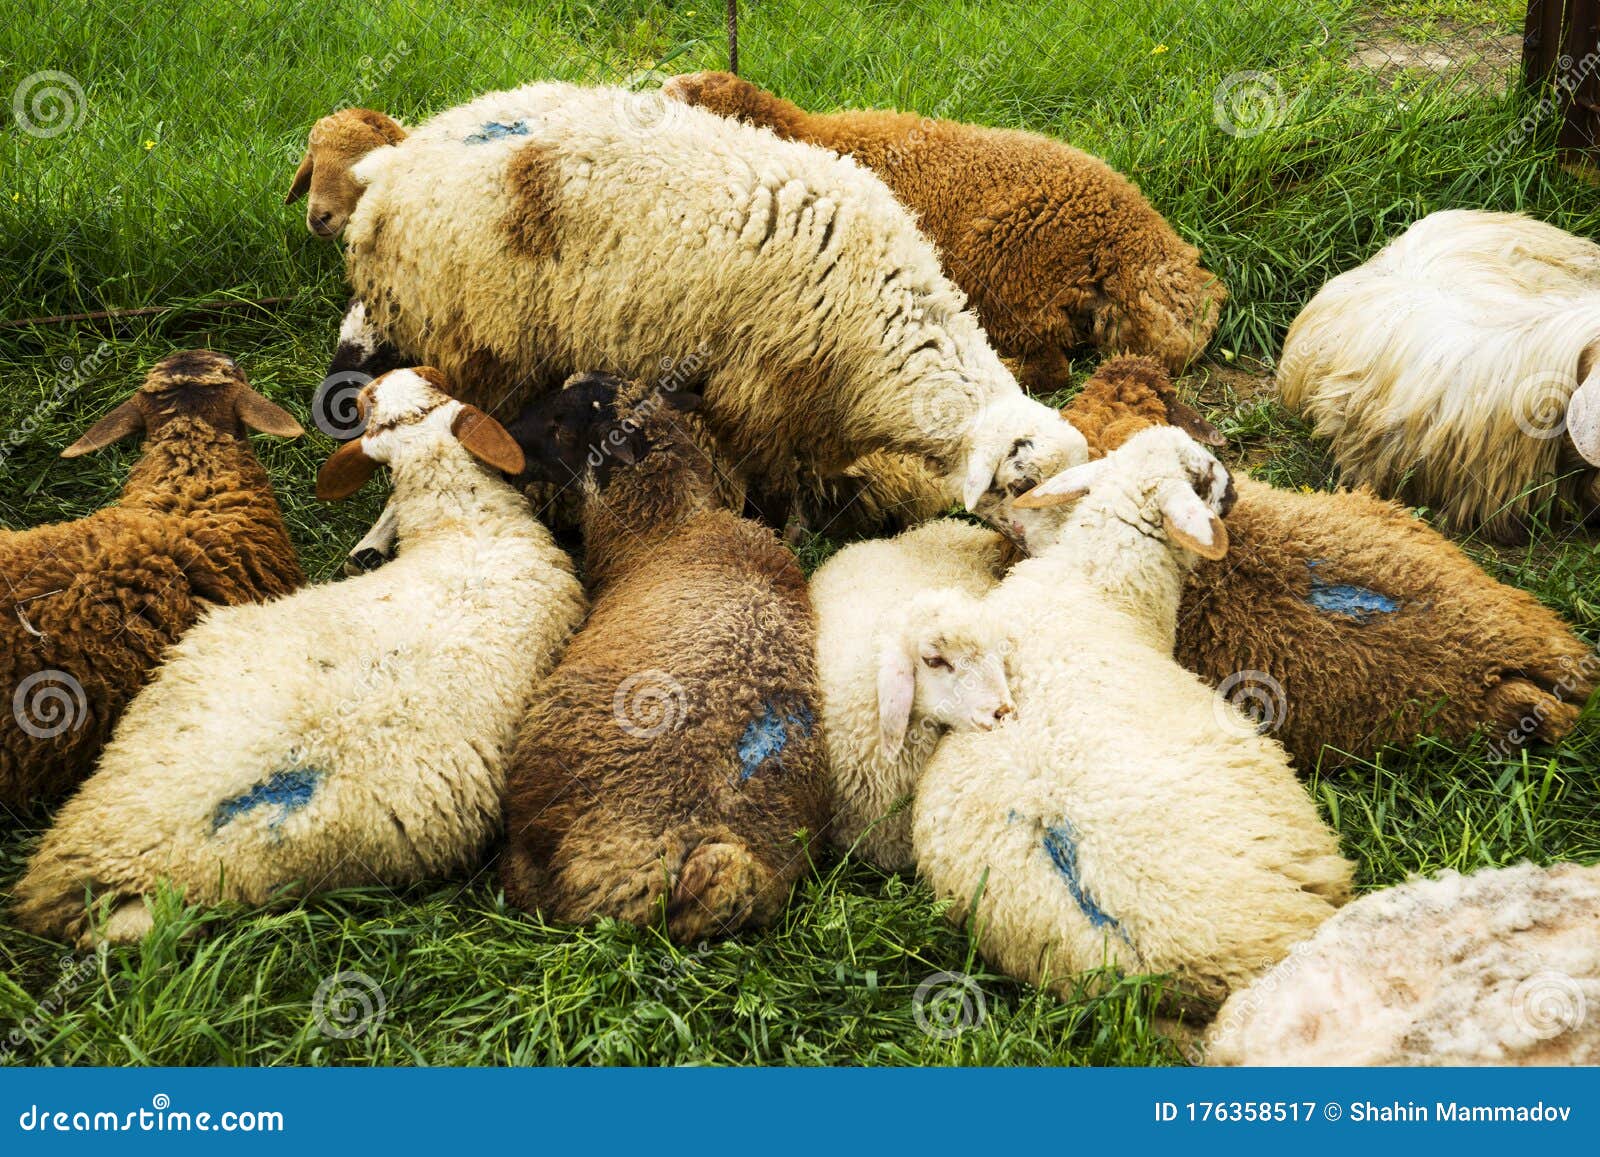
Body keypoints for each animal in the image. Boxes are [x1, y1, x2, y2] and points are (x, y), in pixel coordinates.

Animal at [286, 82, 1087, 533]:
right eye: (1022, 486)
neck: (889, 336)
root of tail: (398, 162)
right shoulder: (756, 399)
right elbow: (773, 499)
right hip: (483, 335)